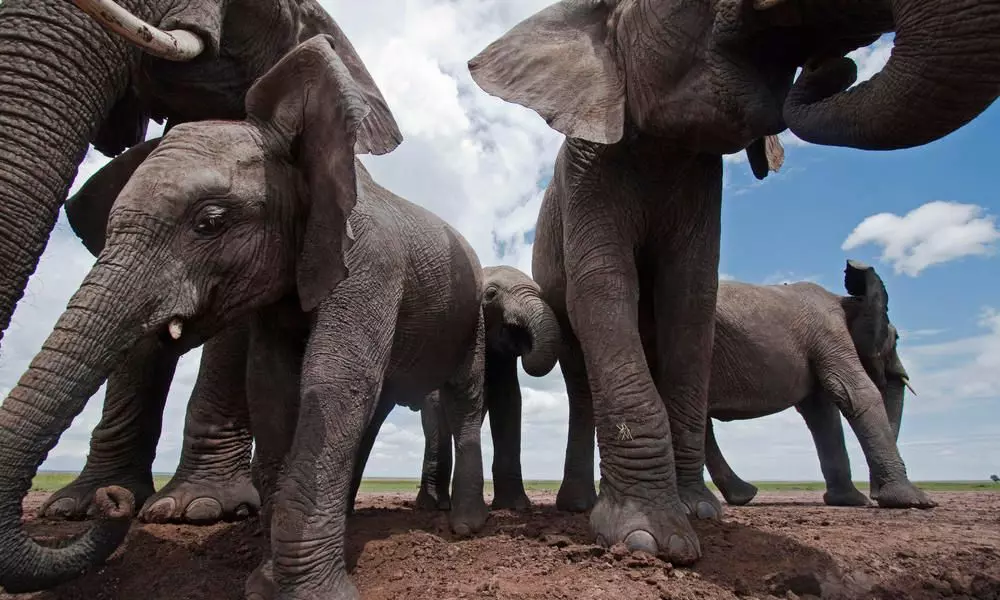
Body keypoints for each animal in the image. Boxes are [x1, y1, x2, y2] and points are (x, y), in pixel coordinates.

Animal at [416, 266, 564, 510]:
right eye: (491, 294)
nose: (526, 344)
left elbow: (509, 402)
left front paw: (515, 506)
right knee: (436, 426)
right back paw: (434, 506)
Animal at [700, 260, 916, 508]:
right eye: (896, 339)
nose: (875, 497)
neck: (847, 299)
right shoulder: (830, 334)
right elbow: (857, 392)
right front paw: (914, 501)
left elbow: (822, 413)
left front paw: (849, 501)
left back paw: (742, 496)